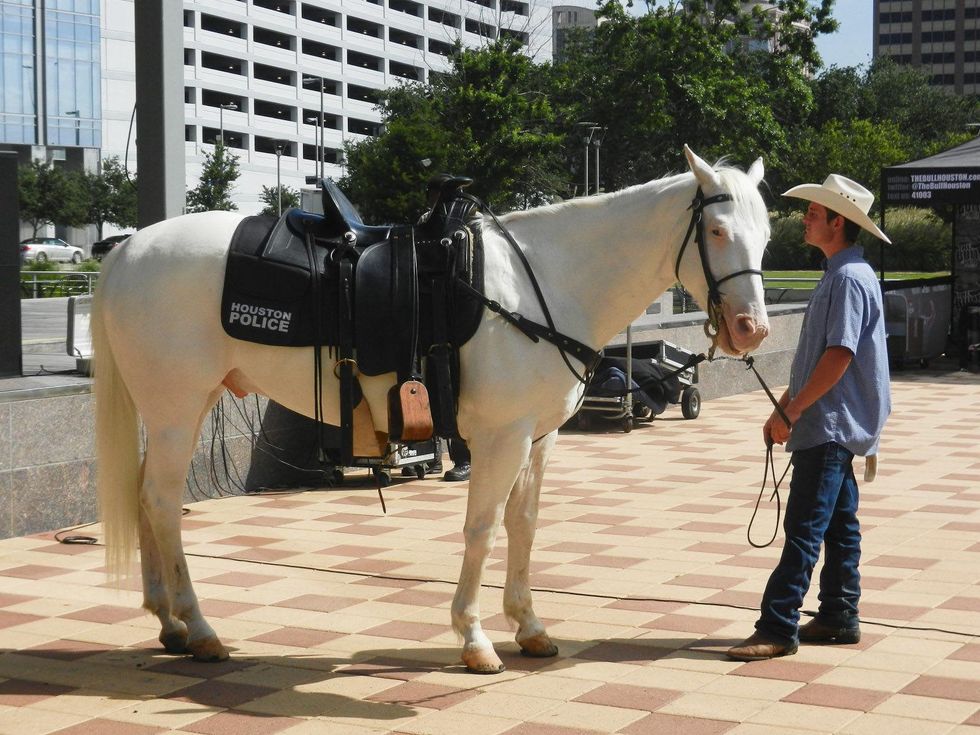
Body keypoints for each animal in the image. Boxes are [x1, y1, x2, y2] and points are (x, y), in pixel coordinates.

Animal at [92, 146, 770, 674]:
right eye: (716, 232)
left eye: (765, 234)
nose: (752, 330)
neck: (540, 283)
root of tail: (127, 249)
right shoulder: (500, 437)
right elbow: (483, 526)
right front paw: (473, 637)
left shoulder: (538, 437)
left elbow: (524, 525)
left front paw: (529, 626)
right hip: (178, 409)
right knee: (160, 502)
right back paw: (200, 628)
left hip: (176, 410)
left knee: (145, 495)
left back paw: (169, 623)